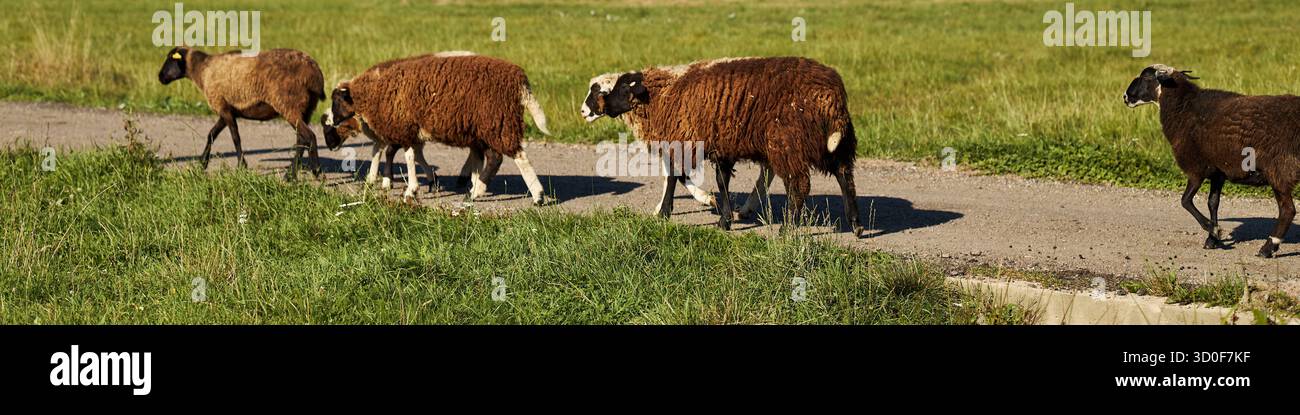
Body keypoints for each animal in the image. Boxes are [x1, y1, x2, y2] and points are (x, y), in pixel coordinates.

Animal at [158, 47, 325, 180]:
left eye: (170, 59)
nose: (160, 77)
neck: (202, 70)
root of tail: (315, 73)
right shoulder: (227, 109)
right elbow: (212, 134)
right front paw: (202, 163)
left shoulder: (223, 108)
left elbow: (235, 138)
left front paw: (241, 166)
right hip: (306, 109)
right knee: (301, 140)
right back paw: (291, 174)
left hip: (289, 105)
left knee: (309, 136)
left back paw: (315, 170)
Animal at [322, 52, 550, 203]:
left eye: (337, 101)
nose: (331, 120)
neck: (373, 92)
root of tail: (520, 81)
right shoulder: (410, 131)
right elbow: (411, 155)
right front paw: (427, 181)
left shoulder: (404, 128)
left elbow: (407, 157)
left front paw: (410, 189)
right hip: (486, 127)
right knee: (490, 157)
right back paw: (475, 187)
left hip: (497, 122)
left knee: (511, 157)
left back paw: (533, 195)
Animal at [581, 57, 863, 235]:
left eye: (613, 90)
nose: (583, 111)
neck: (664, 93)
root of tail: (831, 96)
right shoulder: (721, 146)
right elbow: (720, 181)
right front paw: (724, 218)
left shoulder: (685, 141)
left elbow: (675, 176)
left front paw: (666, 212)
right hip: (830, 145)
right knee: (844, 176)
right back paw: (856, 225)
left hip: (789, 142)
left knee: (799, 184)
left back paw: (787, 228)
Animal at [1124, 64, 1300, 258]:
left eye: (1147, 78)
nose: (1125, 97)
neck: (1184, 107)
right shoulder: (1217, 171)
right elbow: (1212, 202)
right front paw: (1212, 239)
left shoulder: (1196, 168)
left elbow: (1185, 201)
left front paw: (1213, 229)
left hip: (1279, 170)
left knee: (1287, 210)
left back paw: (1268, 247)